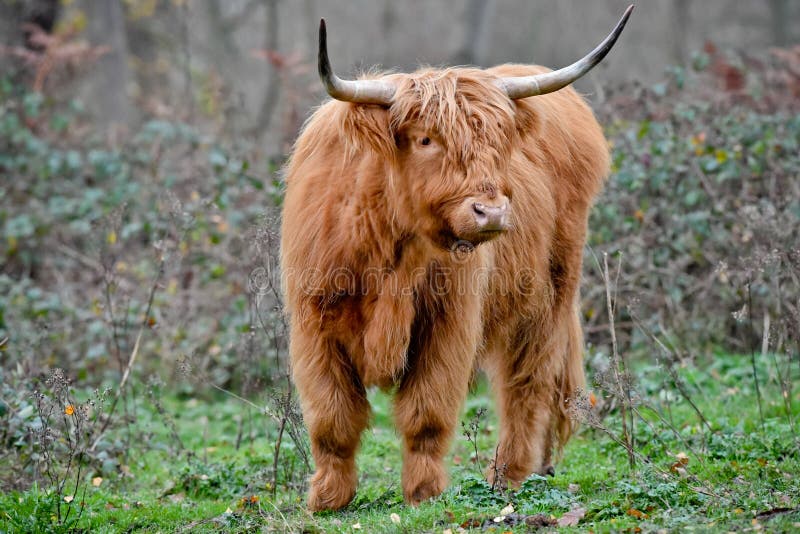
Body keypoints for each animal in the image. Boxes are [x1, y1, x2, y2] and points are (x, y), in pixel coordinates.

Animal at [280, 6, 633, 511]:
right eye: (426, 139)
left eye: (498, 141)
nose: (492, 211)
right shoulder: (315, 324)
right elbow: (333, 418)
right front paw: (328, 498)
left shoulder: (447, 323)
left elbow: (426, 412)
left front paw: (423, 494)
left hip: (550, 294)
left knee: (528, 384)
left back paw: (510, 475)